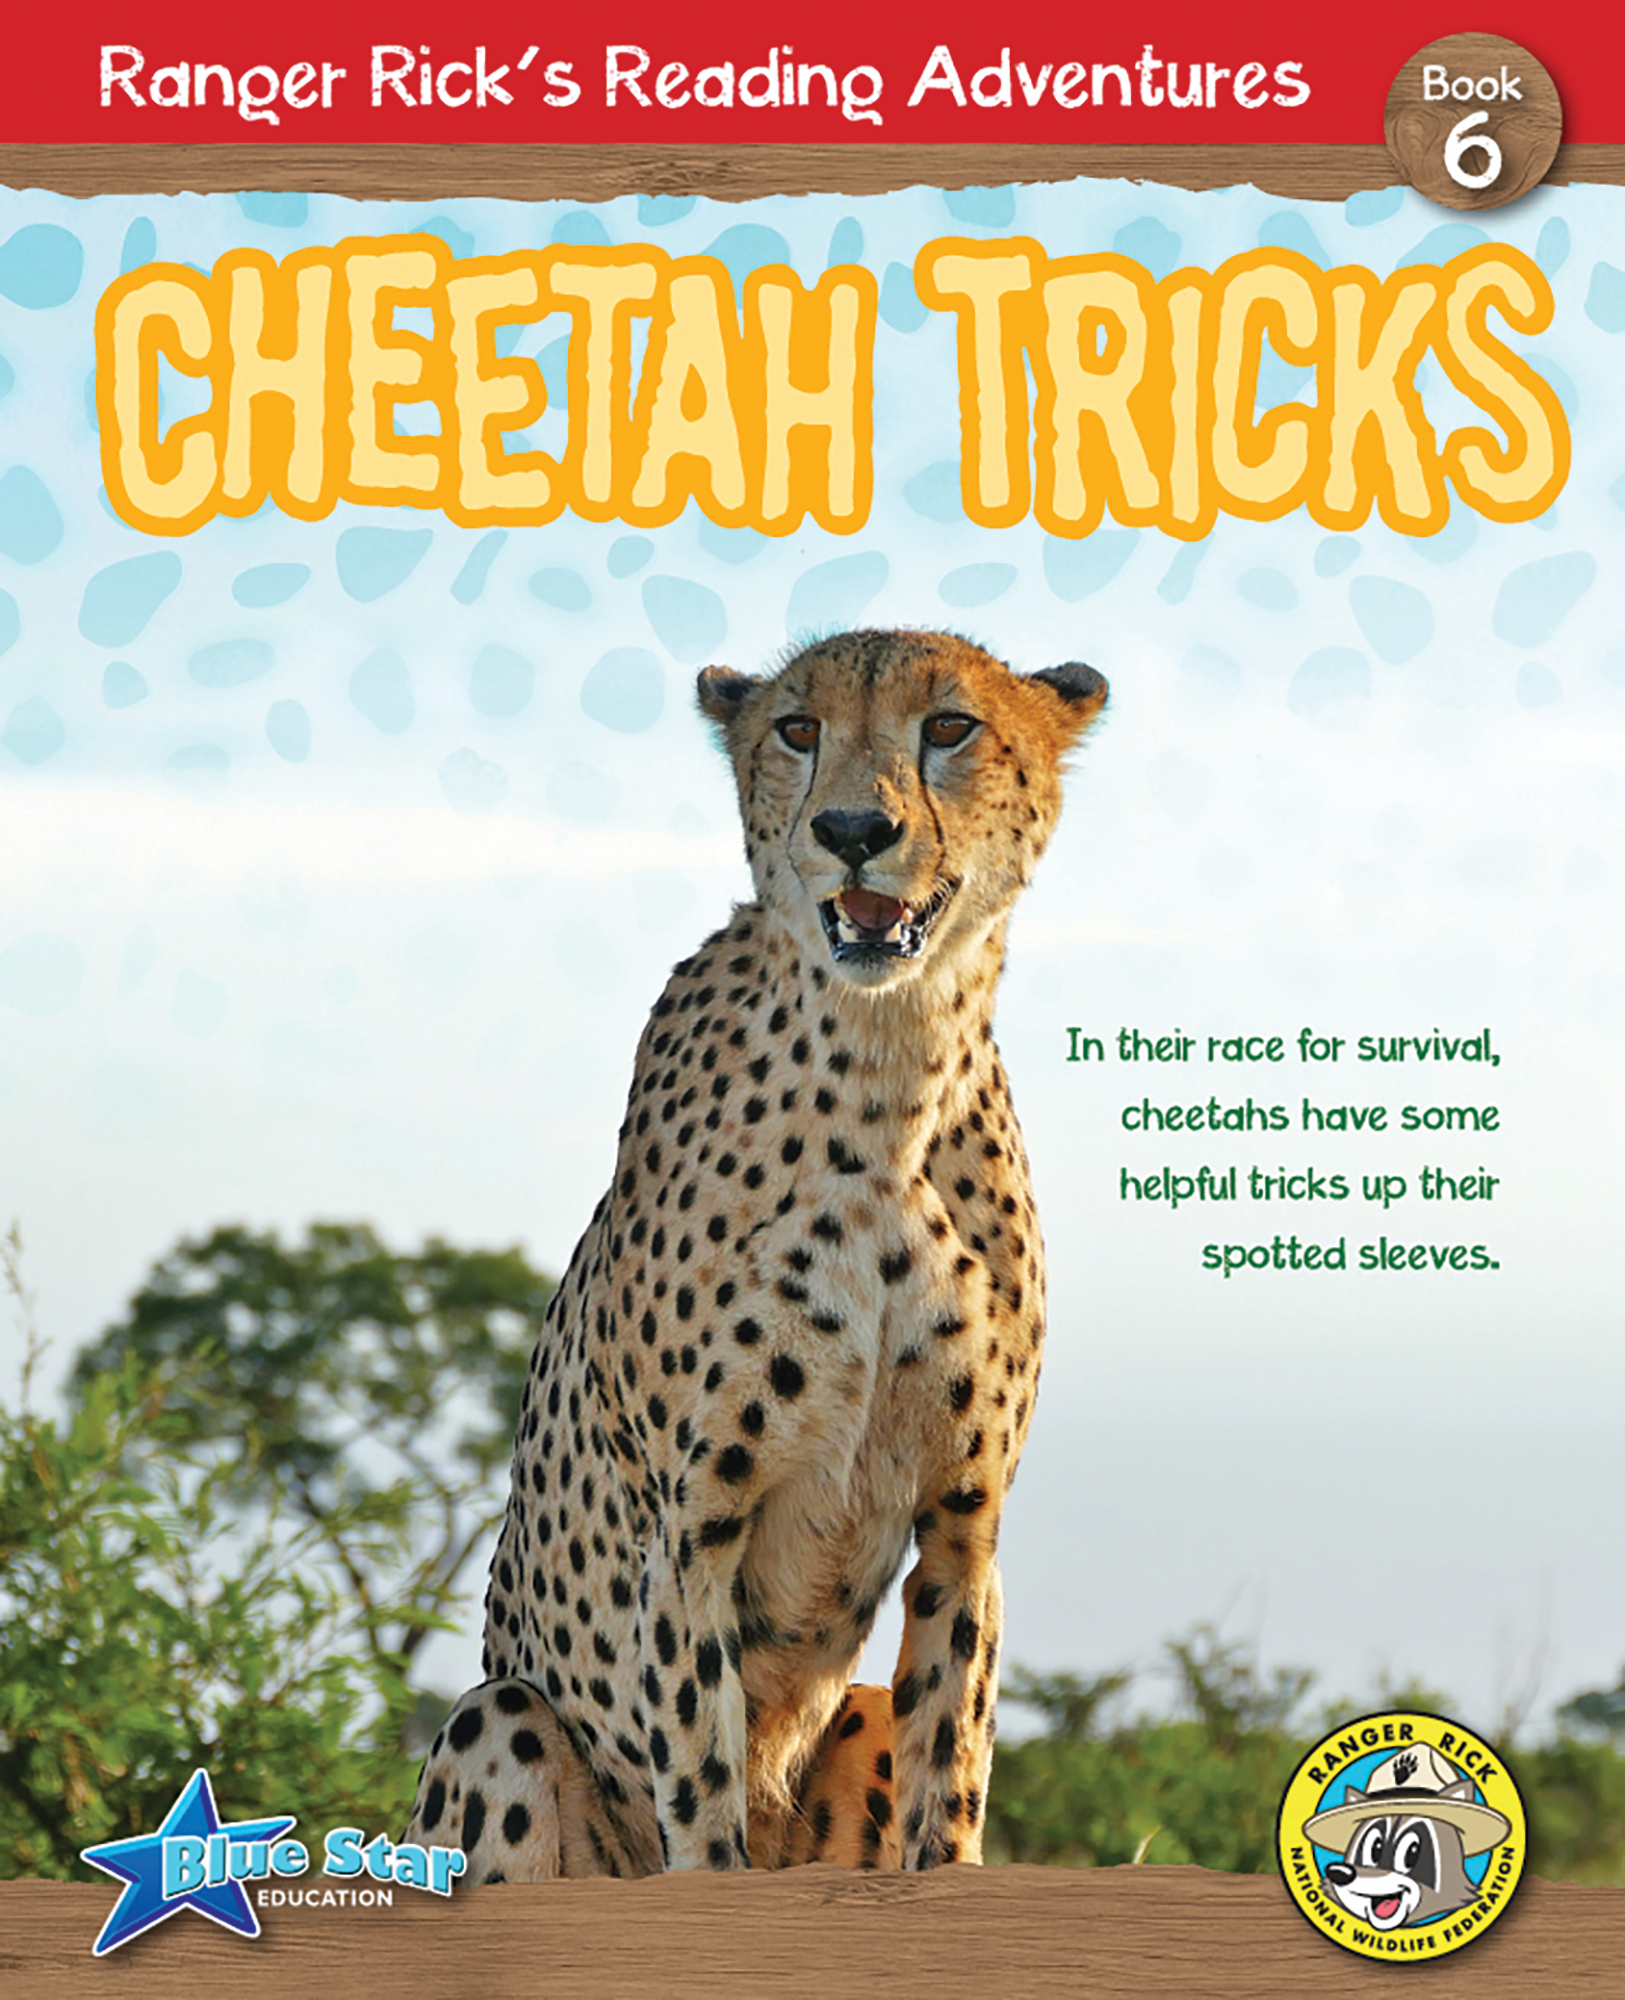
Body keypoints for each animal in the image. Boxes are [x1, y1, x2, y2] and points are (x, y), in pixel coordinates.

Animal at [404, 627, 1108, 1881]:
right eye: (796, 728)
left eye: (949, 726)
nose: (851, 829)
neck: (887, 1068)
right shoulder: (691, 1524)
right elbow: (702, 1779)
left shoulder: (963, 1521)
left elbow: (950, 1772)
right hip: (504, 1714)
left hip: (856, 1708)